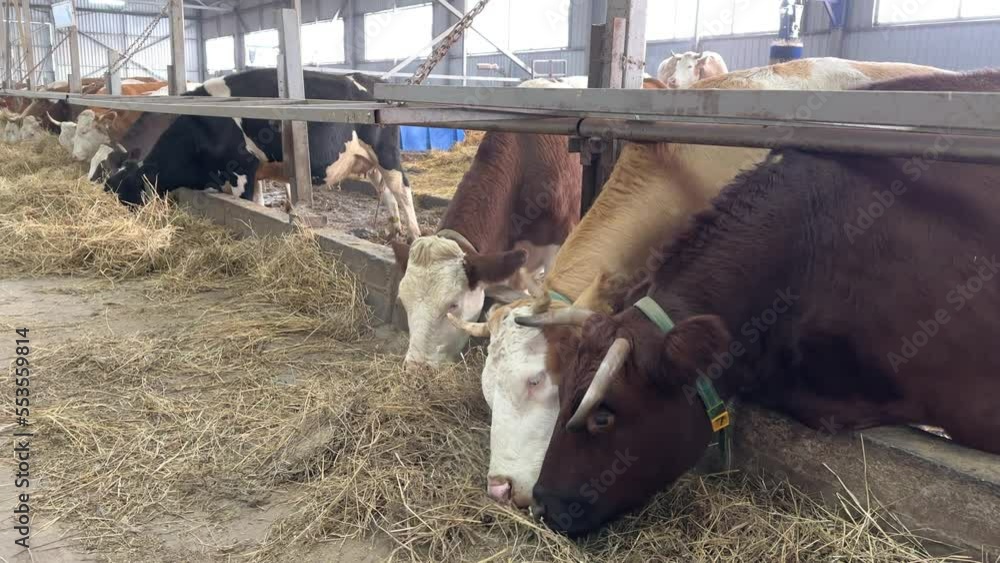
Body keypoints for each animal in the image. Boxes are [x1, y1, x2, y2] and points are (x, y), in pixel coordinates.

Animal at [101, 69, 420, 240]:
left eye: (122, 186)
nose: (108, 210)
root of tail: (369, 79)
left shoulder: (242, 170)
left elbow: (246, 205)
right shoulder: (252, 173)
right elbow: (258, 204)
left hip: (386, 154)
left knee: (402, 189)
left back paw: (414, 235)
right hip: (367, 161)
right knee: (385, 191)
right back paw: (393, 231)